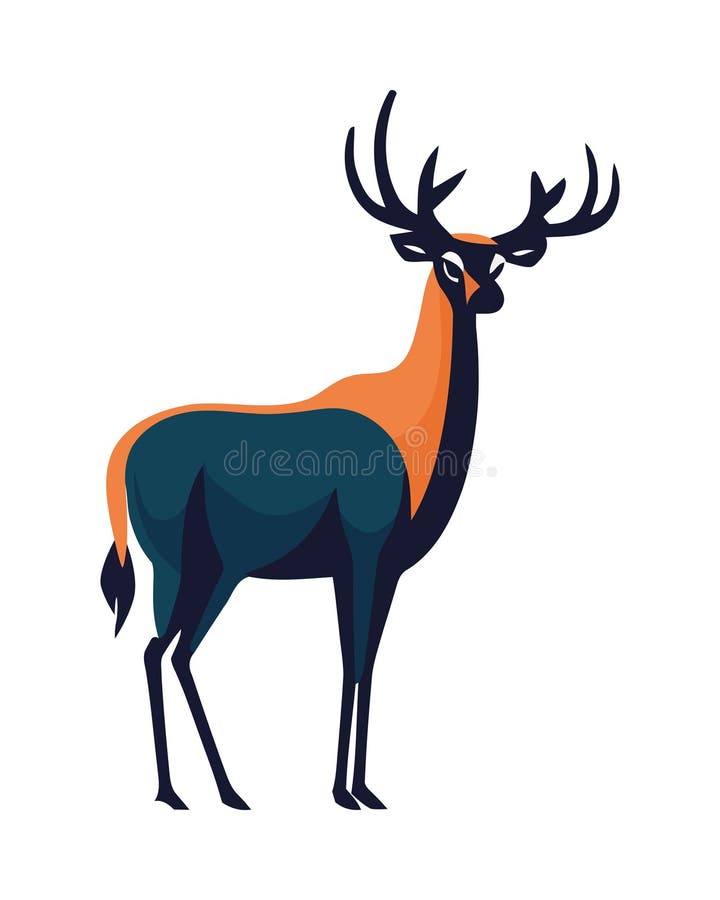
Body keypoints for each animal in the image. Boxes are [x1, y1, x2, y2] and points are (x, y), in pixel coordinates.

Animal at [101, 90, 619, 810]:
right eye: (448, 262)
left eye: (497, 261)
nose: (491, 296)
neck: (416, 440)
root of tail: (118, 454)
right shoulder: (367, 548)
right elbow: (353, 661)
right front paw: (345, 791)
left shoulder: (379, 565)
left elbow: (364, 661)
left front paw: (360, 788)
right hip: (190, 562)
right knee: (164, 650)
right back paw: (191, 792)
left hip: (194, 567)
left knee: (168, 652)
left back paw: (210, 790)